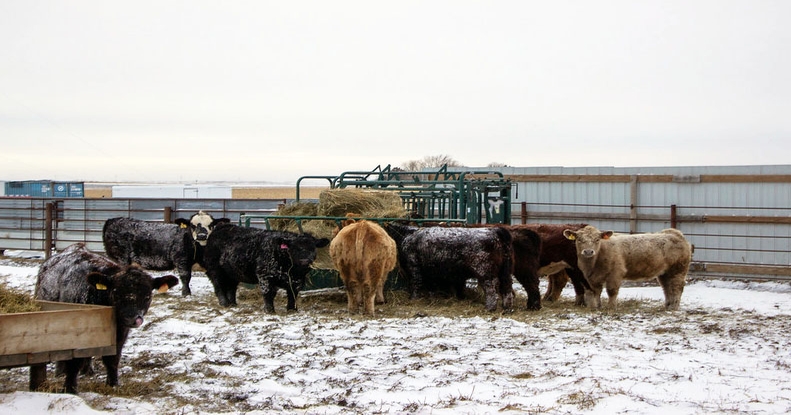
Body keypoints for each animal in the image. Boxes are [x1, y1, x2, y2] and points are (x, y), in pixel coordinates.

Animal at [31, 243, 178, 394]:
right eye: (116, 293)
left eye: (147, 296)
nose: (132, 318)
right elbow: (74, 361)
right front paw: (69, 388)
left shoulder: (120, 333)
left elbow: (112, 359)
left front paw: (112, 384)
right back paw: (61, 371)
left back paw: (87, 370)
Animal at [202, 223, 330, 313]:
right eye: (294, 248)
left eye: (312, 248)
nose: (305, 261)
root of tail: (223, 226)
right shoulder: (264, 276)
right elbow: (268, 293)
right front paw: (269, 310)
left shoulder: (296, 281)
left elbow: (293, 295)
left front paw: (292, 310)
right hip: (214, 268)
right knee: (218, 285)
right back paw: (224, 303)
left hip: (233, 272)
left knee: (231, 288)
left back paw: (233, 303)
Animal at [385, 223, 515, 312]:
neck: (408, 235)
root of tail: (494, 230)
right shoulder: (430, 270)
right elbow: (431, 286)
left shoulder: (414, 266)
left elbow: (416, 283)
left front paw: (413, 299)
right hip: (505, 271)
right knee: (507, 286)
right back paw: (507, 307)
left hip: (485, 271)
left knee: (490, 287)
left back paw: (490, 308)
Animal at [563, 225, 692, 310]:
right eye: (579, 239)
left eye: (597, 239)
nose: (588, 251)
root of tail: (675, 233)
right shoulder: (592, 278)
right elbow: (596, 291)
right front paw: (597, 307)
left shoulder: (615, 274)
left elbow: (612, 291)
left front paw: (611, 307)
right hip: (664, 273)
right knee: (667, 287)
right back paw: (668, 305)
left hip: (678, 270)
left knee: (677, 287)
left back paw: (674, 307)